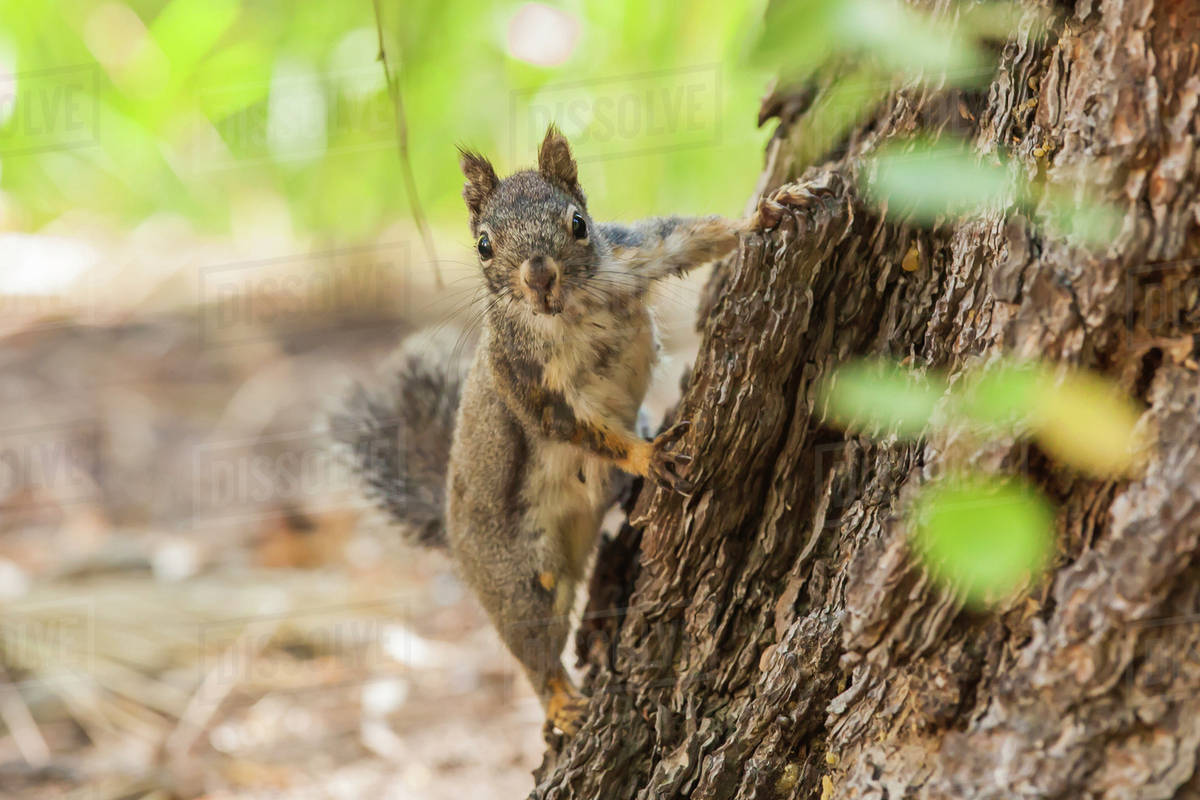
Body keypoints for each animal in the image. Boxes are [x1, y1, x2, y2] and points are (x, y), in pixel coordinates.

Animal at [334, 125, 741, 735]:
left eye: (578, 222)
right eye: (483, 245)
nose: (539, 275)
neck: (568, 311)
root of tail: (453, 536)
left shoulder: (629, 255)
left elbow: (685, 236)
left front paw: (774, 209)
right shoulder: (526, 381)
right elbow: (579, 428)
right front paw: (647, 457)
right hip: (517, 579)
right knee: (532, 648)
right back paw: (560, 700)